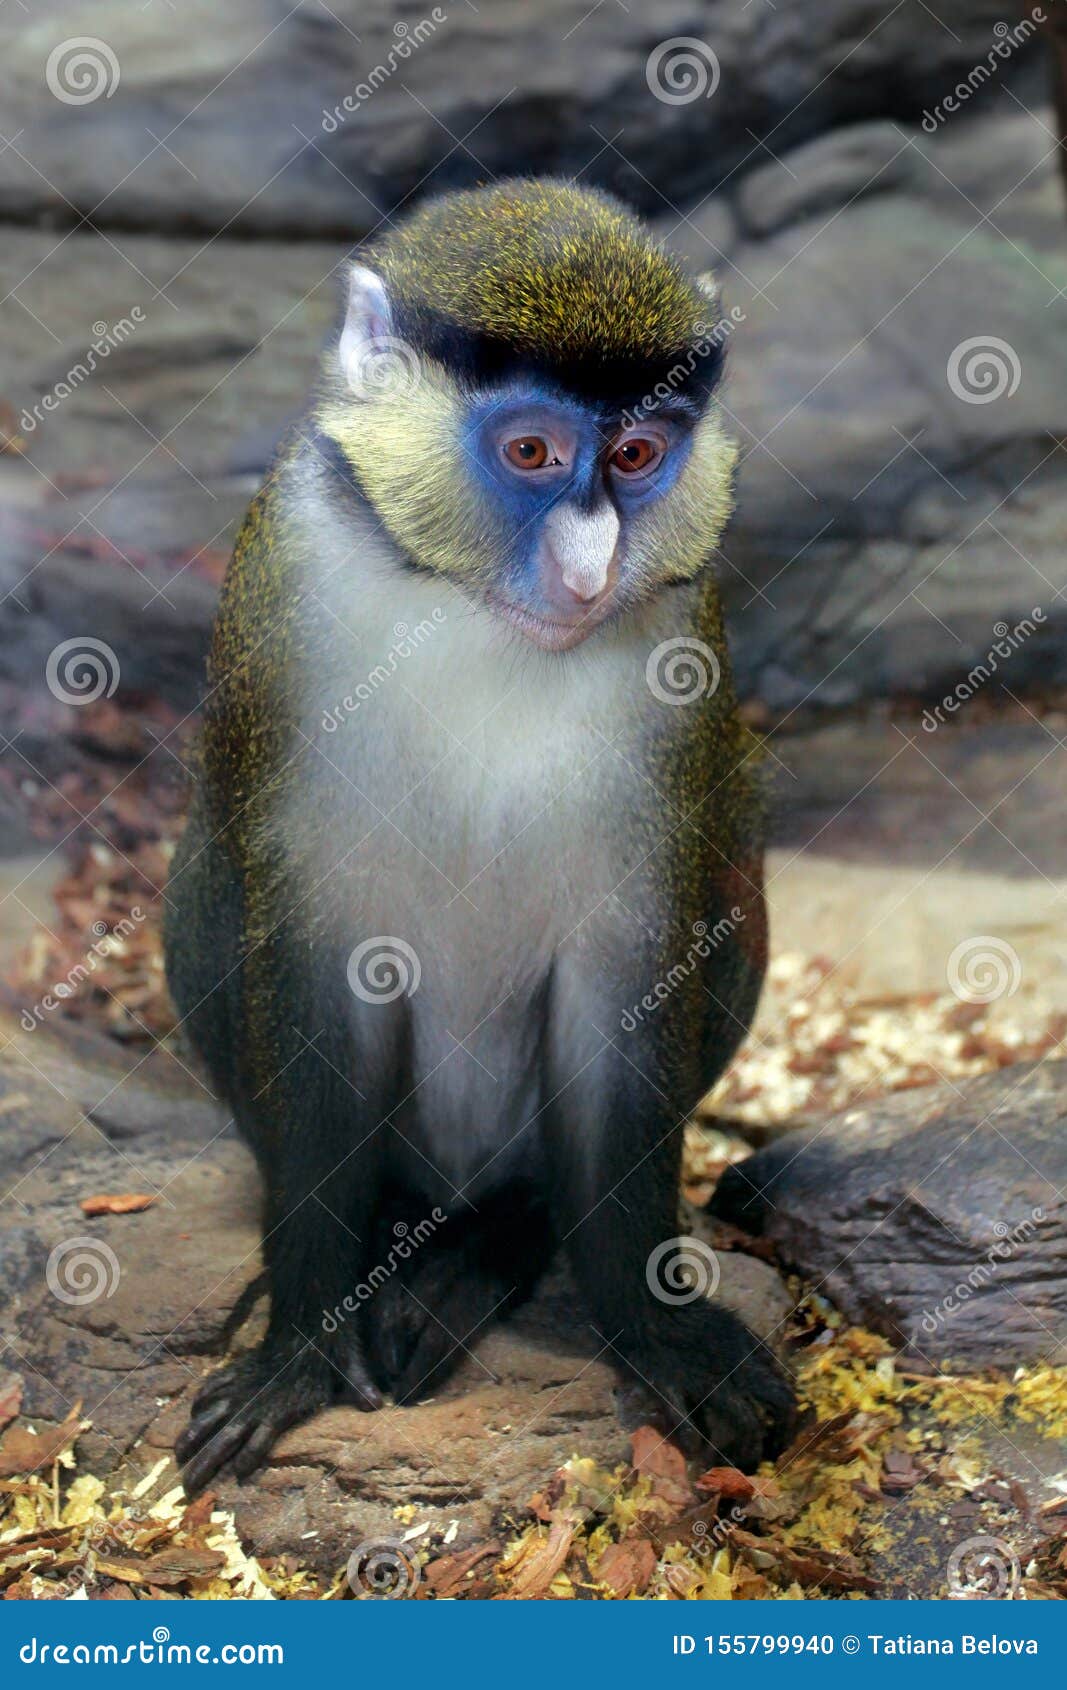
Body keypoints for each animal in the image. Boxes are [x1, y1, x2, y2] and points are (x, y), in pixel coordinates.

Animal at [165, 178, 796, 1494]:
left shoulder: (679, 647)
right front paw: (300, 1344)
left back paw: (496, 1239)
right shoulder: (284, 579)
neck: (462, 608)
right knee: (206, 874)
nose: (591, 572)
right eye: (530, 452)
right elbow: (313, 964)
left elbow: (627, 979)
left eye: (635, 455)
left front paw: (652, 1327)